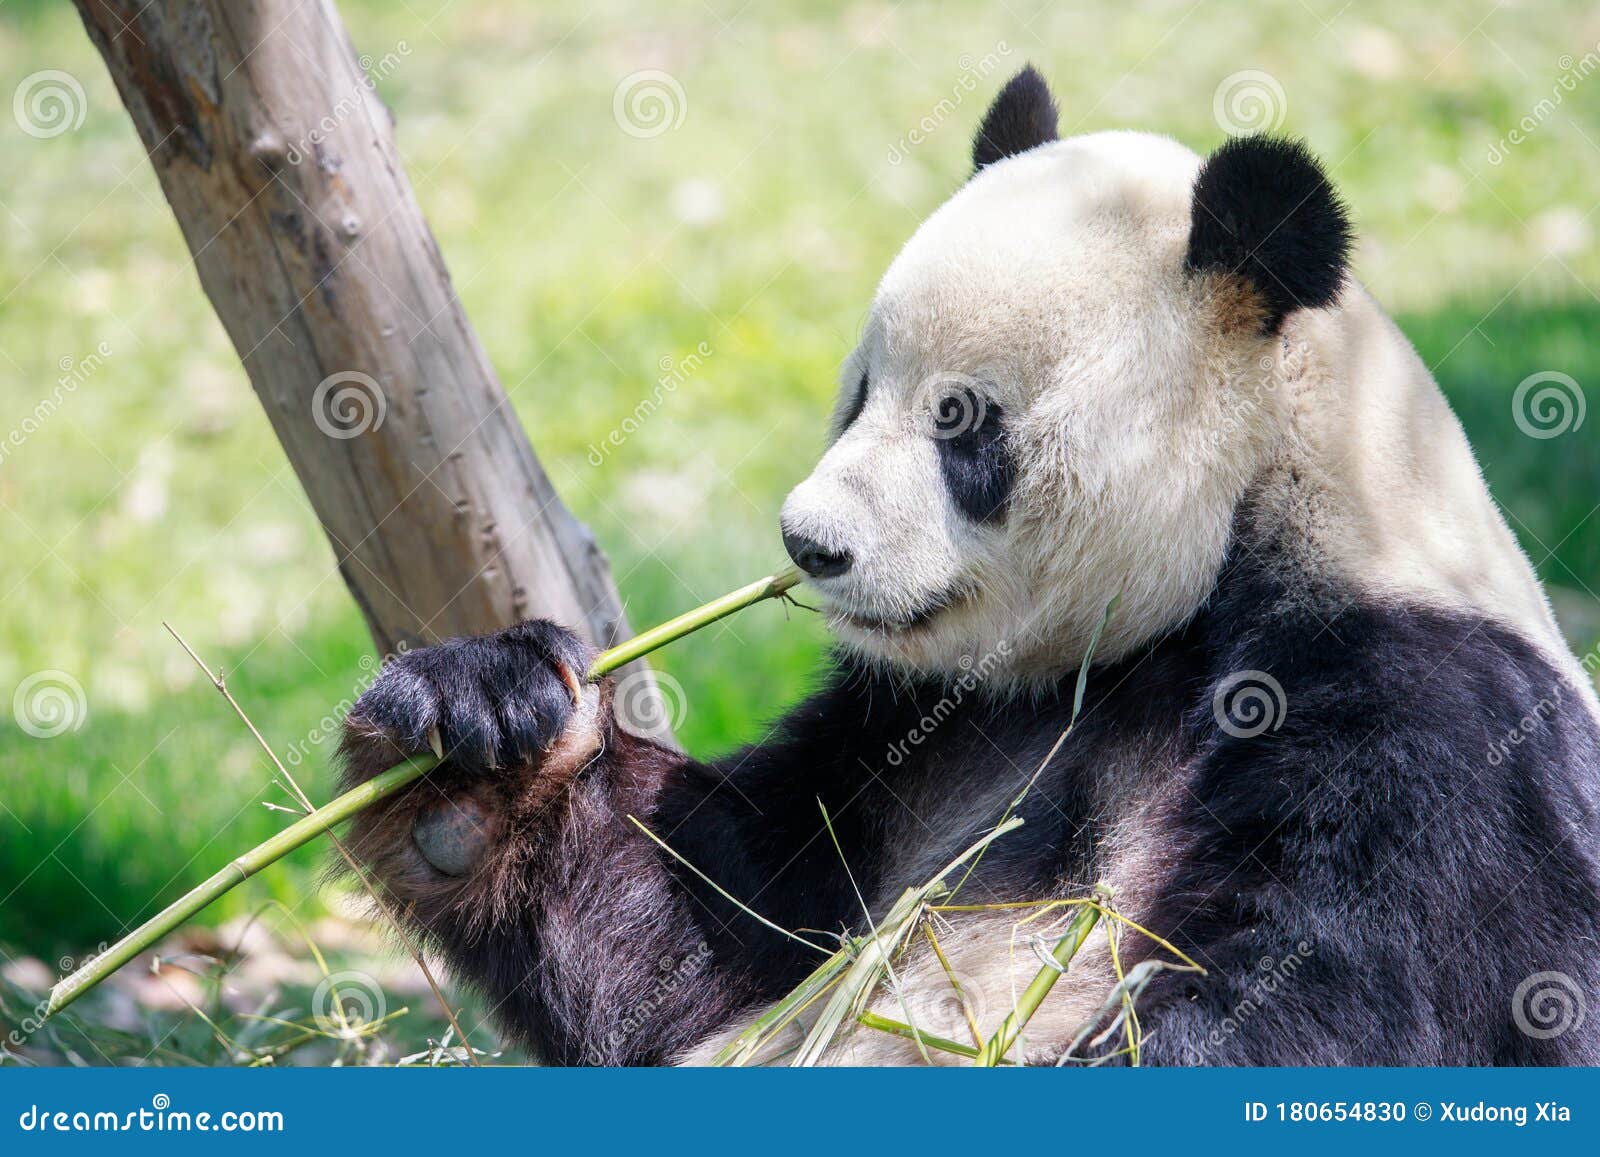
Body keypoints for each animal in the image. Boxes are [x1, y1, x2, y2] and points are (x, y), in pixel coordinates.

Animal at [339, 67, 1600, 1066]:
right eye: (859, 391)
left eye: (962, 423)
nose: (809, 542)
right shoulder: (927, 722)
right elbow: (716, 937)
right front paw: (477, 735)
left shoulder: (1416, 724)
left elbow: (1312, 1003)